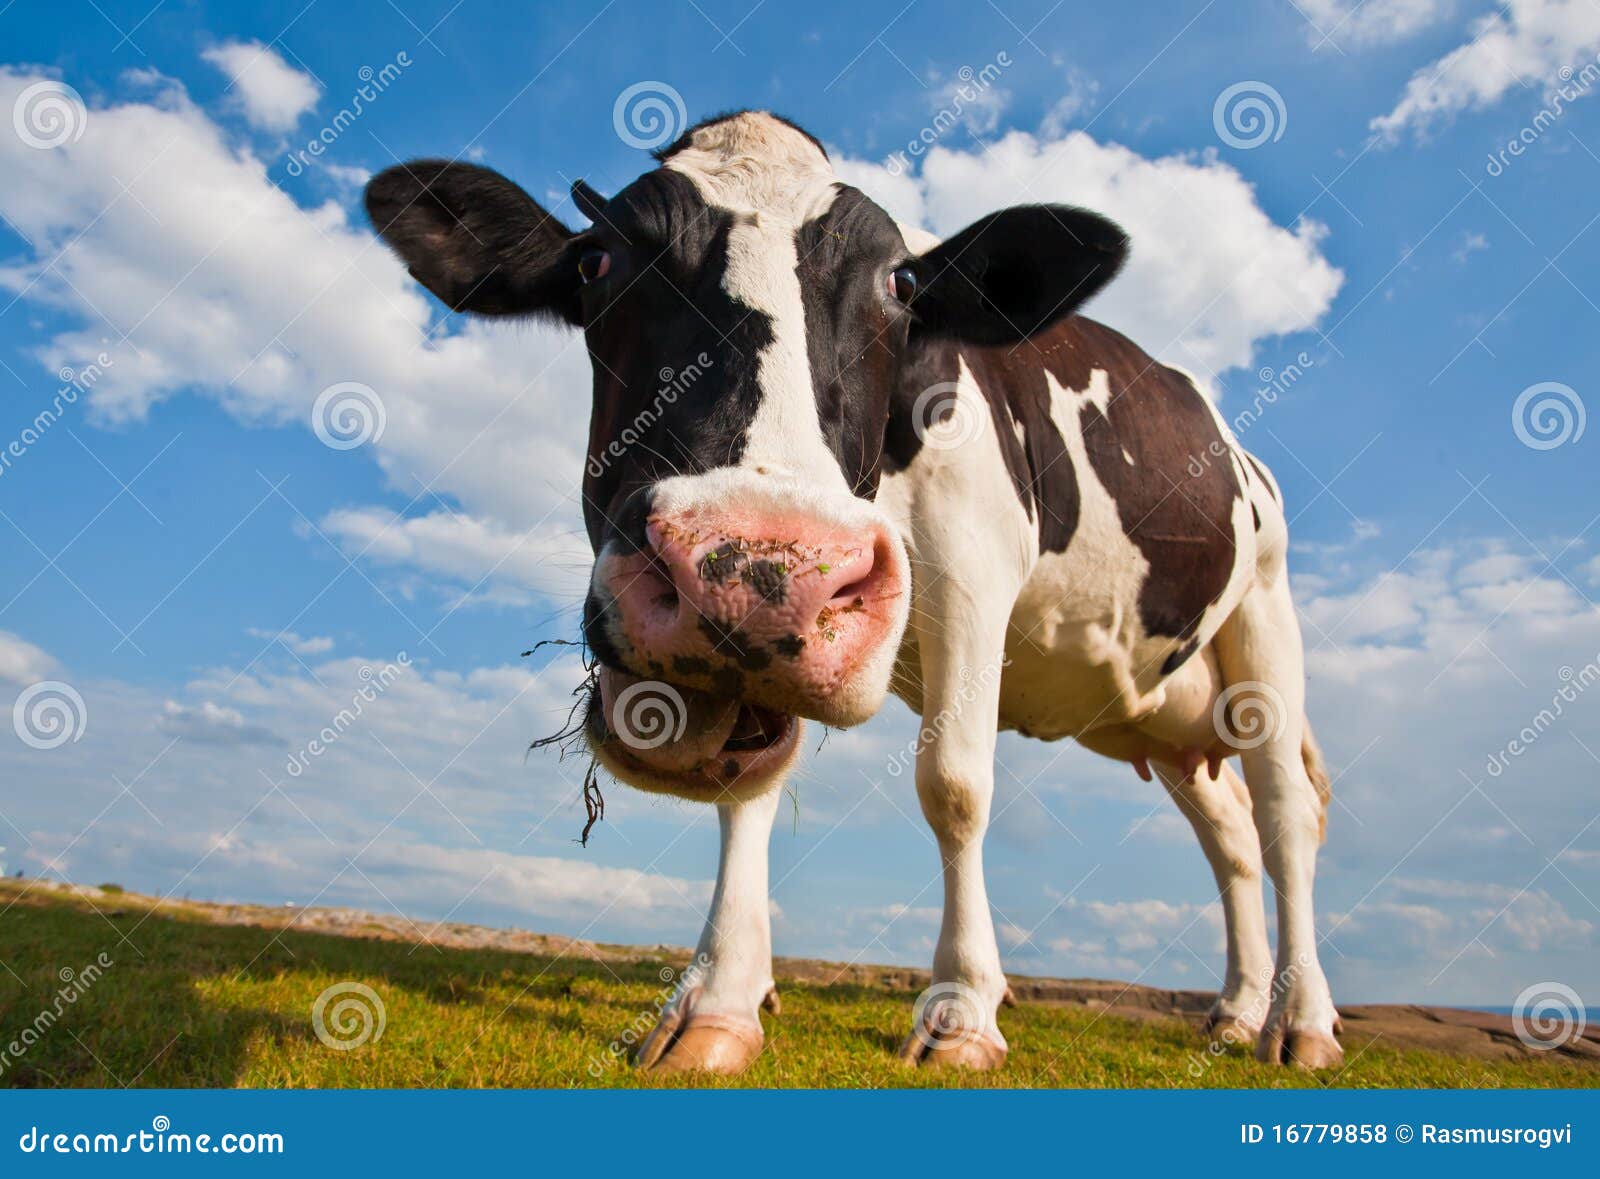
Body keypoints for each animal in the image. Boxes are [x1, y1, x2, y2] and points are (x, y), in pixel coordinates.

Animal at [366, 110, 1343, 1074]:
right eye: (597, 261)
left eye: (903, 283)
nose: (750, 566)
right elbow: (746, 790)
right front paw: (721, 999)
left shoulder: (973, 569)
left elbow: (955, 785)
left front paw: (963, 1009)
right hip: (1164, 715)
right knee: (1231, 838)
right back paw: (1235, 1010)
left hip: (1264, 616)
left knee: (1284, 815)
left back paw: (1300, 1018)